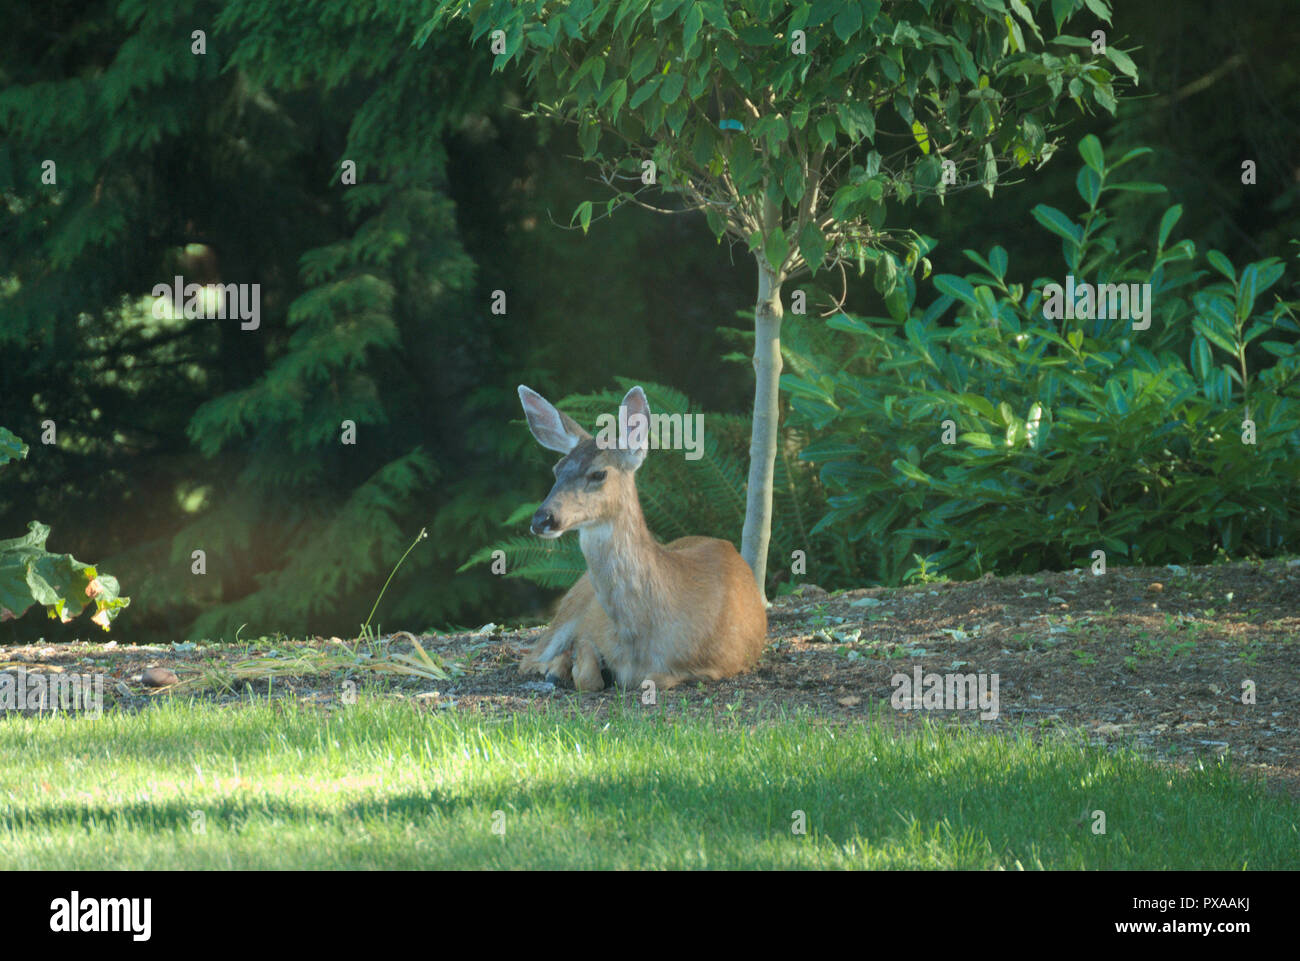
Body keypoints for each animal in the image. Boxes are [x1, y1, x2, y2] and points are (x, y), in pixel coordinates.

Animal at [516, 384, 768, 692]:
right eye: (557, 470)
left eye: (599, 473)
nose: (543, 519)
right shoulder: (590, 632)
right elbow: (587, 673)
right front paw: (570, 666)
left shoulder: (718, 664)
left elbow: (652, 678)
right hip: (571, 603)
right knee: (528, 659)